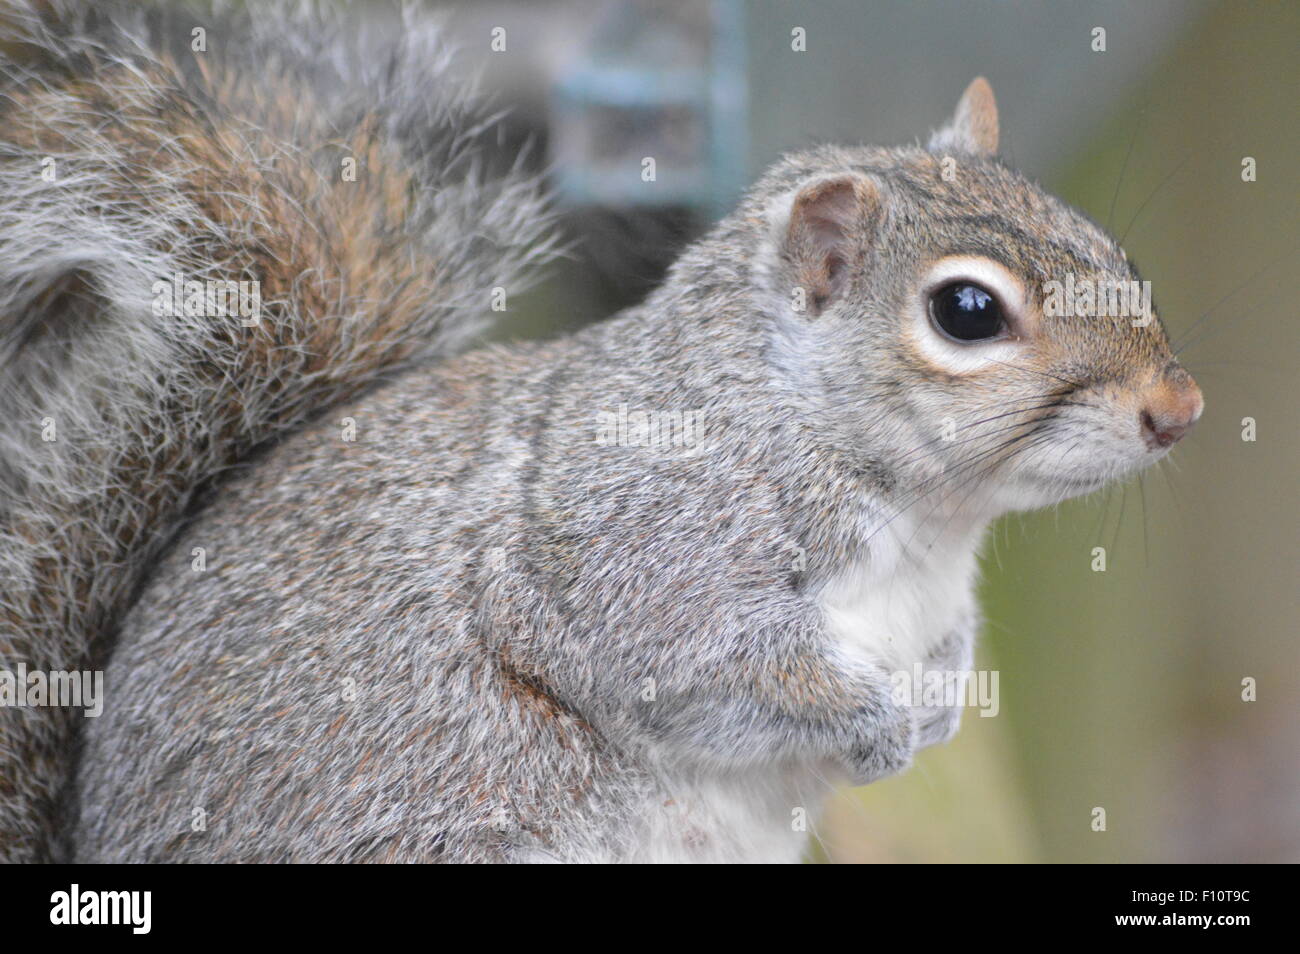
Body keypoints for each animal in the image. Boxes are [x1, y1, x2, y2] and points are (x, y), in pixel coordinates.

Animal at [0, 1, 1203, 863]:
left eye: (1112, 252)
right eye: (966, 311)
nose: (1179, 410)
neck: (926, 521)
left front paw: (939, 703)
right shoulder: (643, 545)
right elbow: (711, 667)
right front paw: (876, 725)